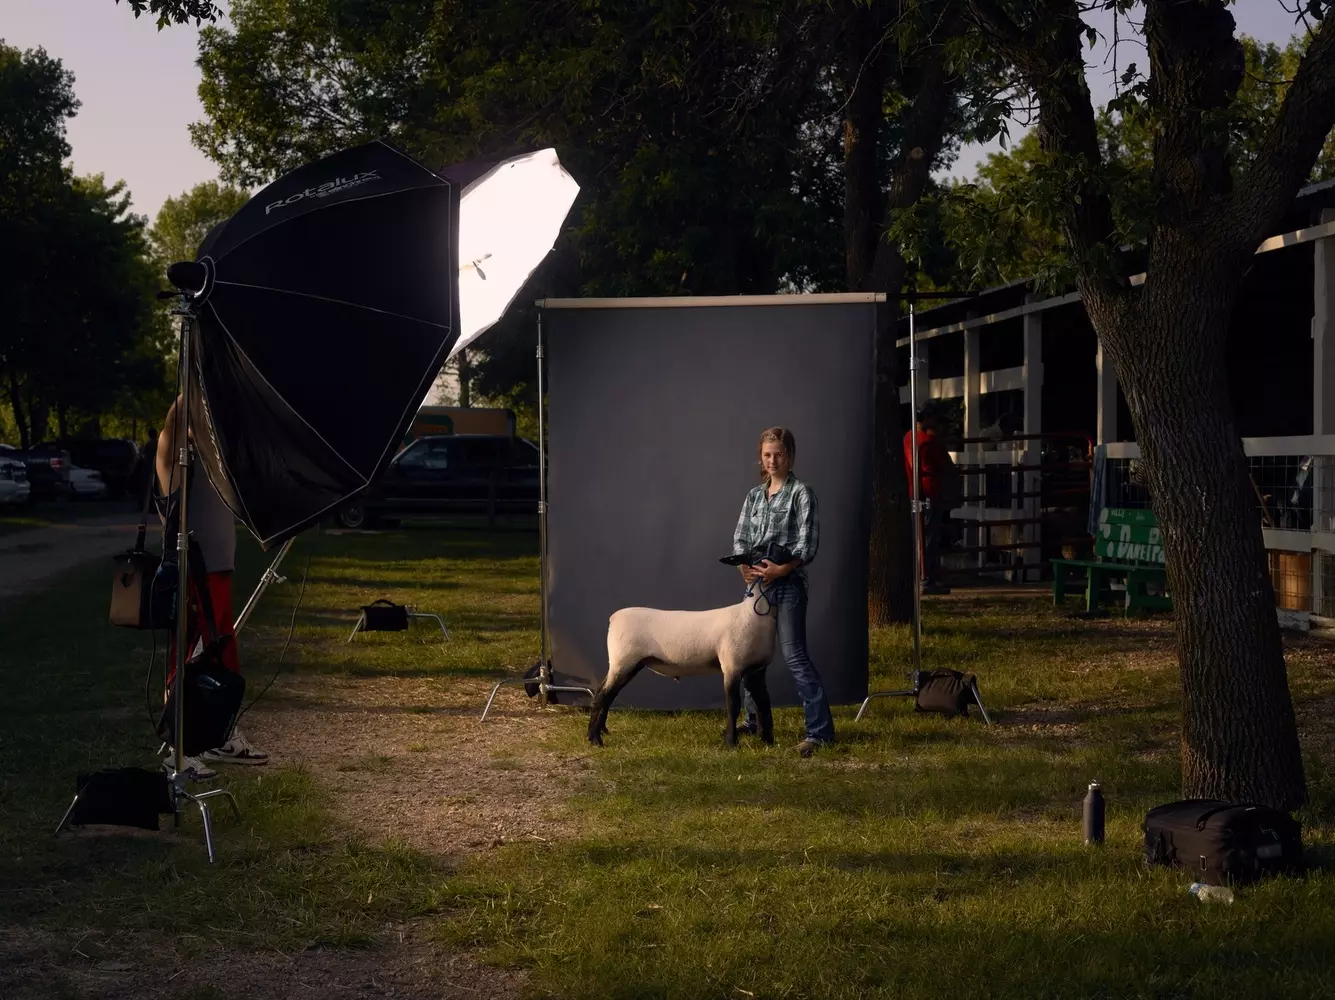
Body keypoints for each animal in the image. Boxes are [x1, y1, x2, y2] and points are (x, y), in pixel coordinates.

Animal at [587, 576, 779, 747]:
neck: (751, 614)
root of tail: (614, 618)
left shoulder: (756, 670)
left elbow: (763, 703)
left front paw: (767, 741)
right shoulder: (732, 667)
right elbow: (734, 705)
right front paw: (732, 743)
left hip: (626, 664)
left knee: (606, 694)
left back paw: (601, 731)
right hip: (623, 660)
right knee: (602, 695)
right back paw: (595, 739)